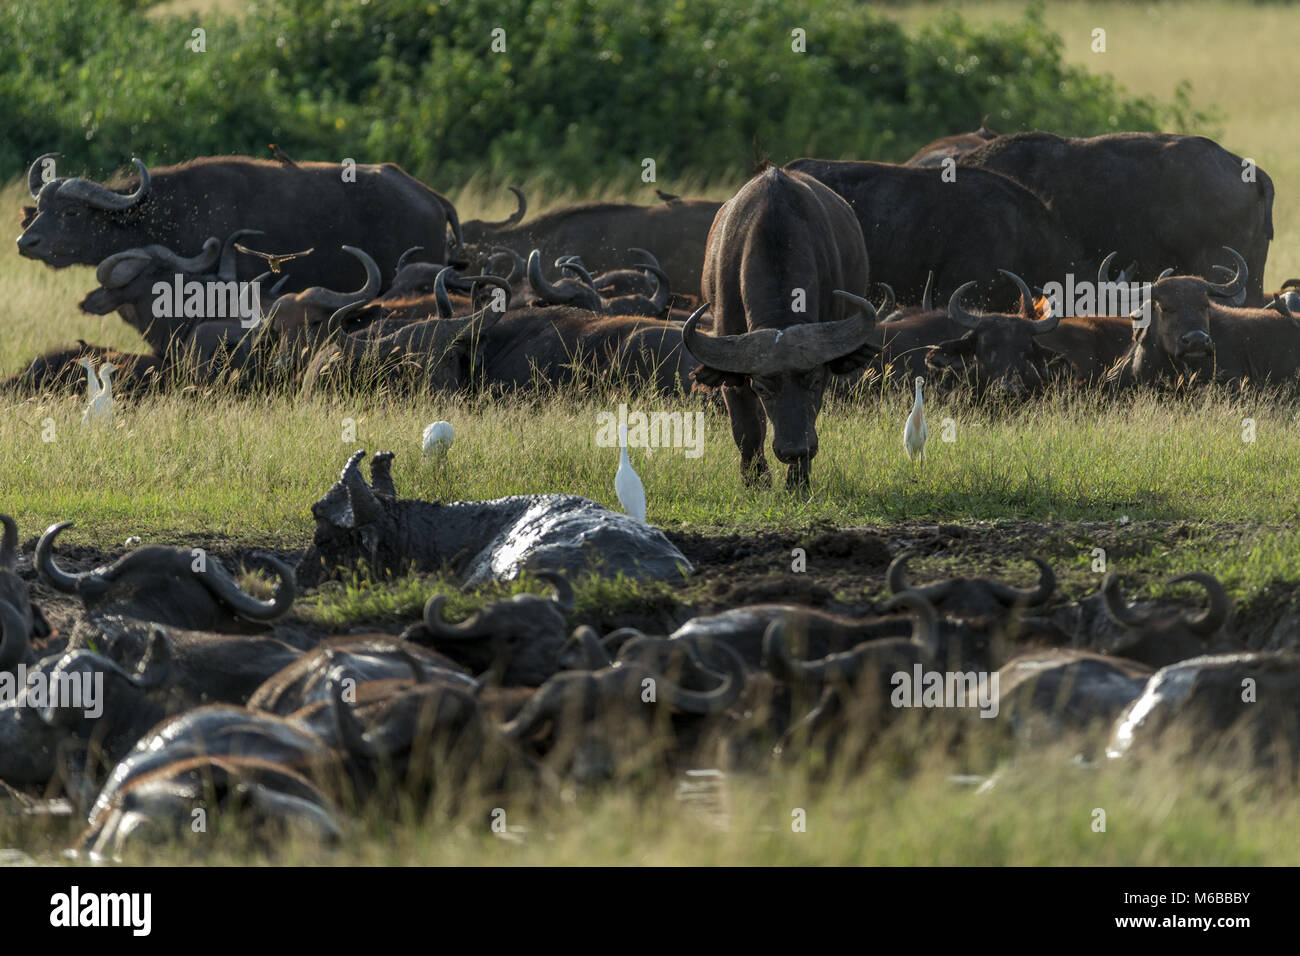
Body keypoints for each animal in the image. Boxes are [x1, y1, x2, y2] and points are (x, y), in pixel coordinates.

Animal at [681, 166, 880, 490]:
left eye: (814, 380)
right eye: (762, 387)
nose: (793, 450)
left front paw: (797, 483)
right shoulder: (732, 371)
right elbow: (747, 429)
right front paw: (756, 482)